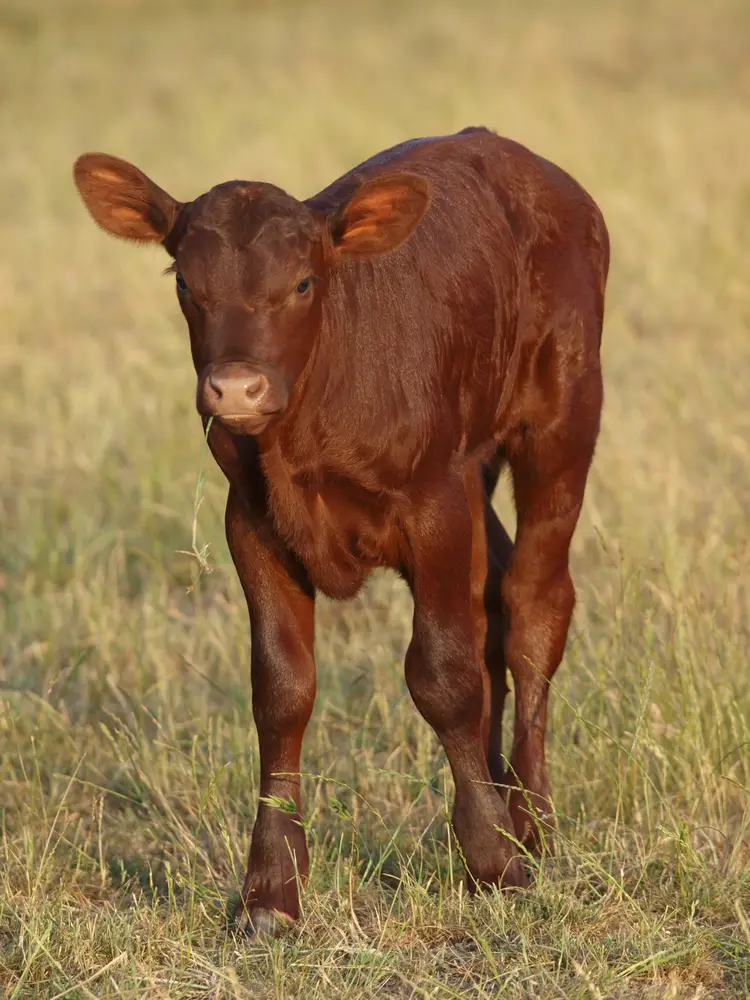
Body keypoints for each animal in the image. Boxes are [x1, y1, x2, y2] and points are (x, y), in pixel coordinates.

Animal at [73, 126, 609, 936]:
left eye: (302, 284)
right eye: (185, 284)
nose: (236, 388)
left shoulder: (432, 503)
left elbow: (442, 676)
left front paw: (494, 864)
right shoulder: (252, 522)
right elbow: (281, 689)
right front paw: (269, 893)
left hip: (563, 416)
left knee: (534, 605)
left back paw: (533, 825)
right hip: (475, 468)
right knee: (490, 602)